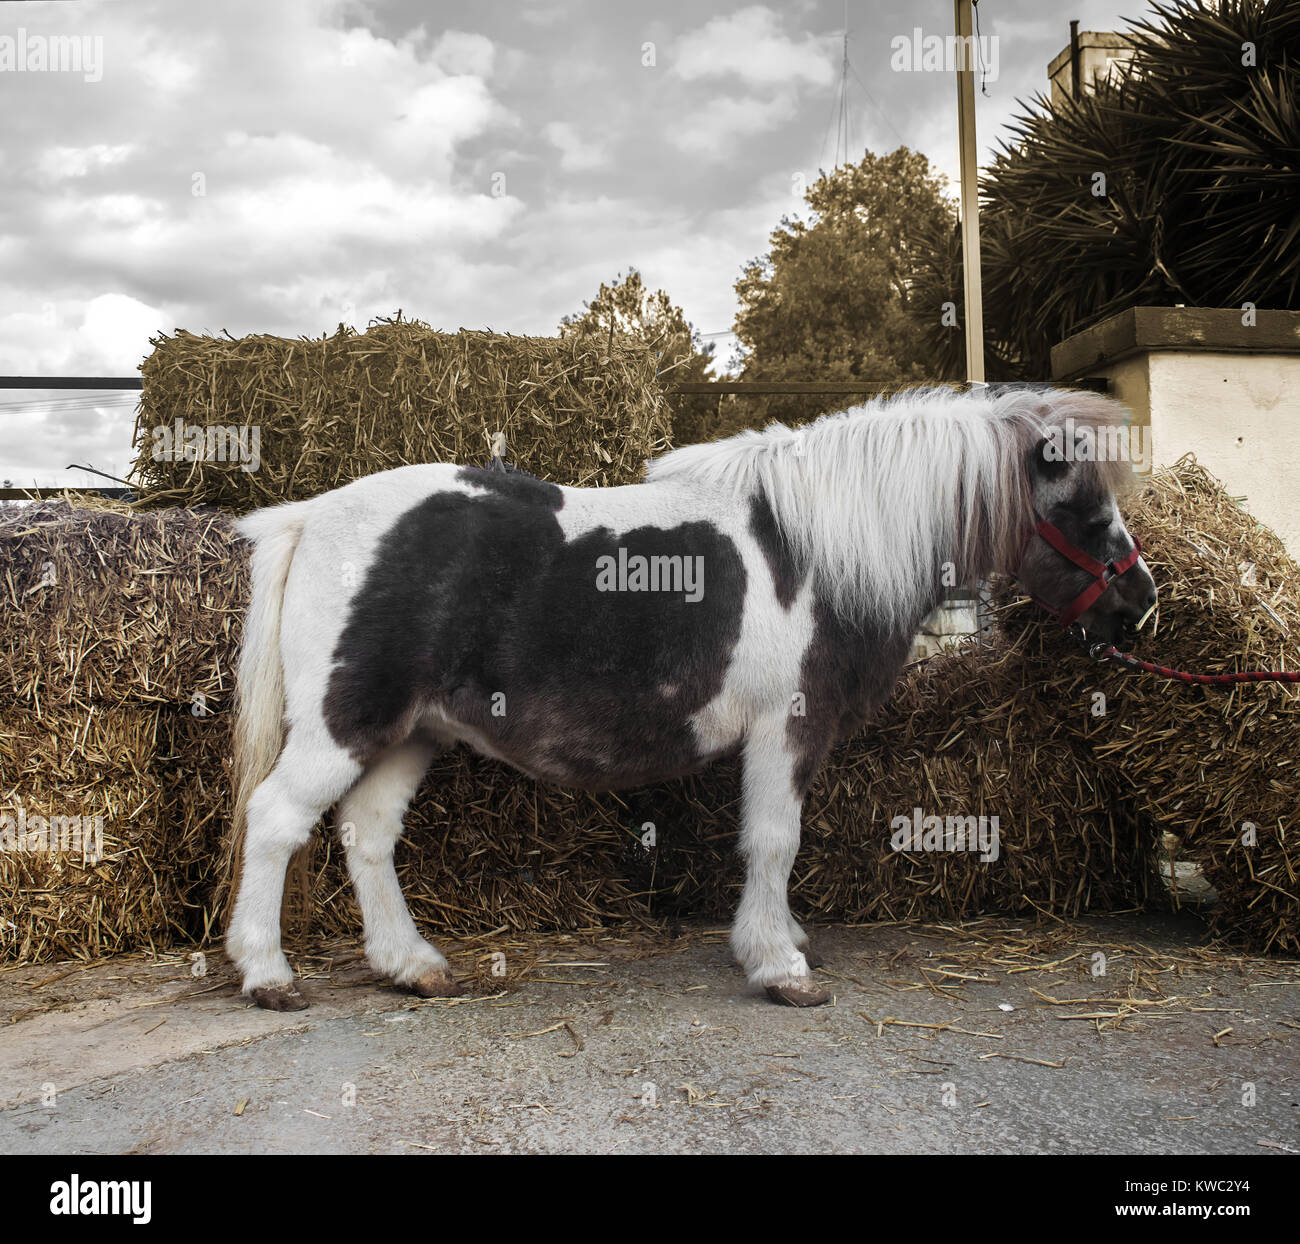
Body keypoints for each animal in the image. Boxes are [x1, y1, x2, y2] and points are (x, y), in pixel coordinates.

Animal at [225, 385, 1157, 1010]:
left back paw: (410, 964)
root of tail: (313, 516)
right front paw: (779, 965)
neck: (816, 549)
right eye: (1085, 510)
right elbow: (775, 841)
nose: (1139, 604)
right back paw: (268, 974)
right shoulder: (788, 729)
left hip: (409, 732)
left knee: (368, 835)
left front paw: (784, 941)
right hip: (344, 726)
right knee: (275, 821)